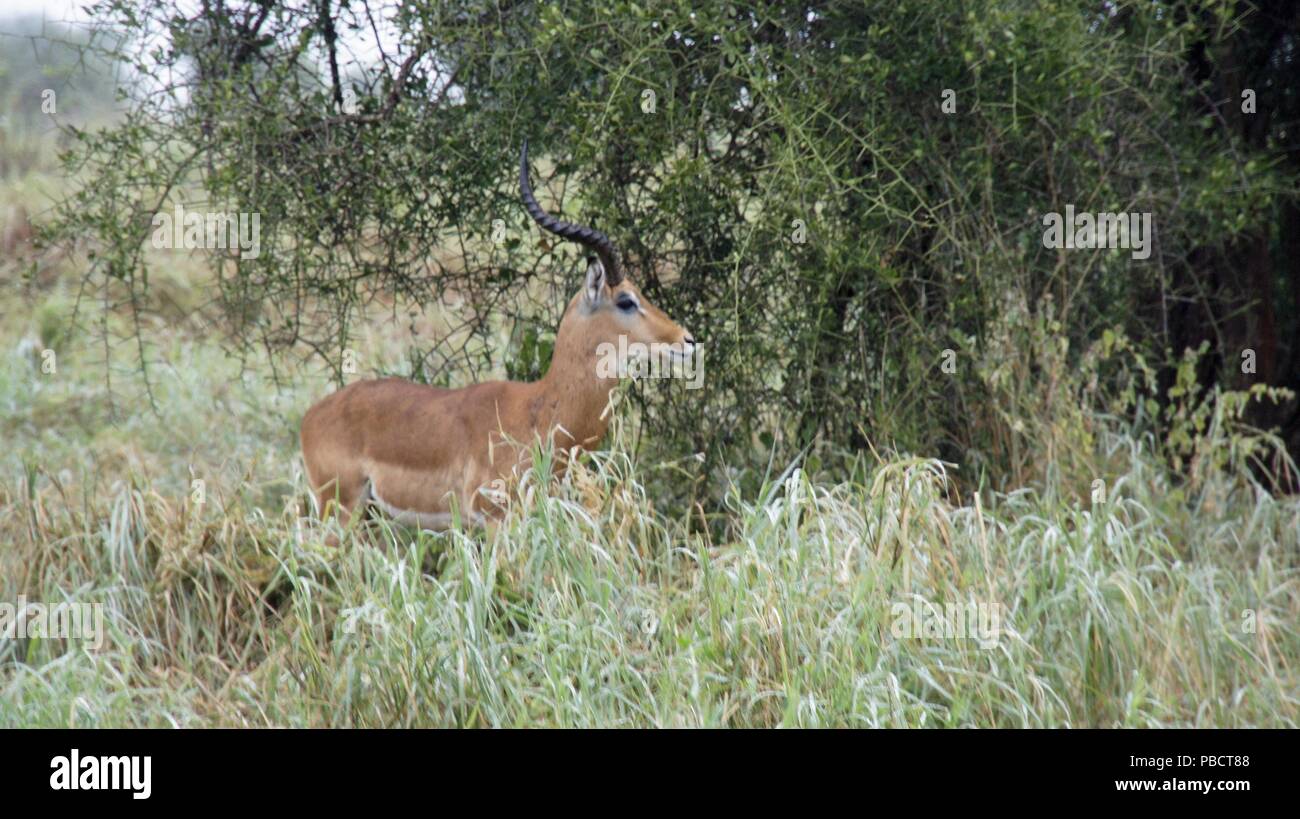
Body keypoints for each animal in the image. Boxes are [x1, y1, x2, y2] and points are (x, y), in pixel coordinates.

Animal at [300, 141, 695, 532]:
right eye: (626, 300)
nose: (686, 340)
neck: (541, 408)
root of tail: (311, 415)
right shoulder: (495, 521)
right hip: (340, 512)